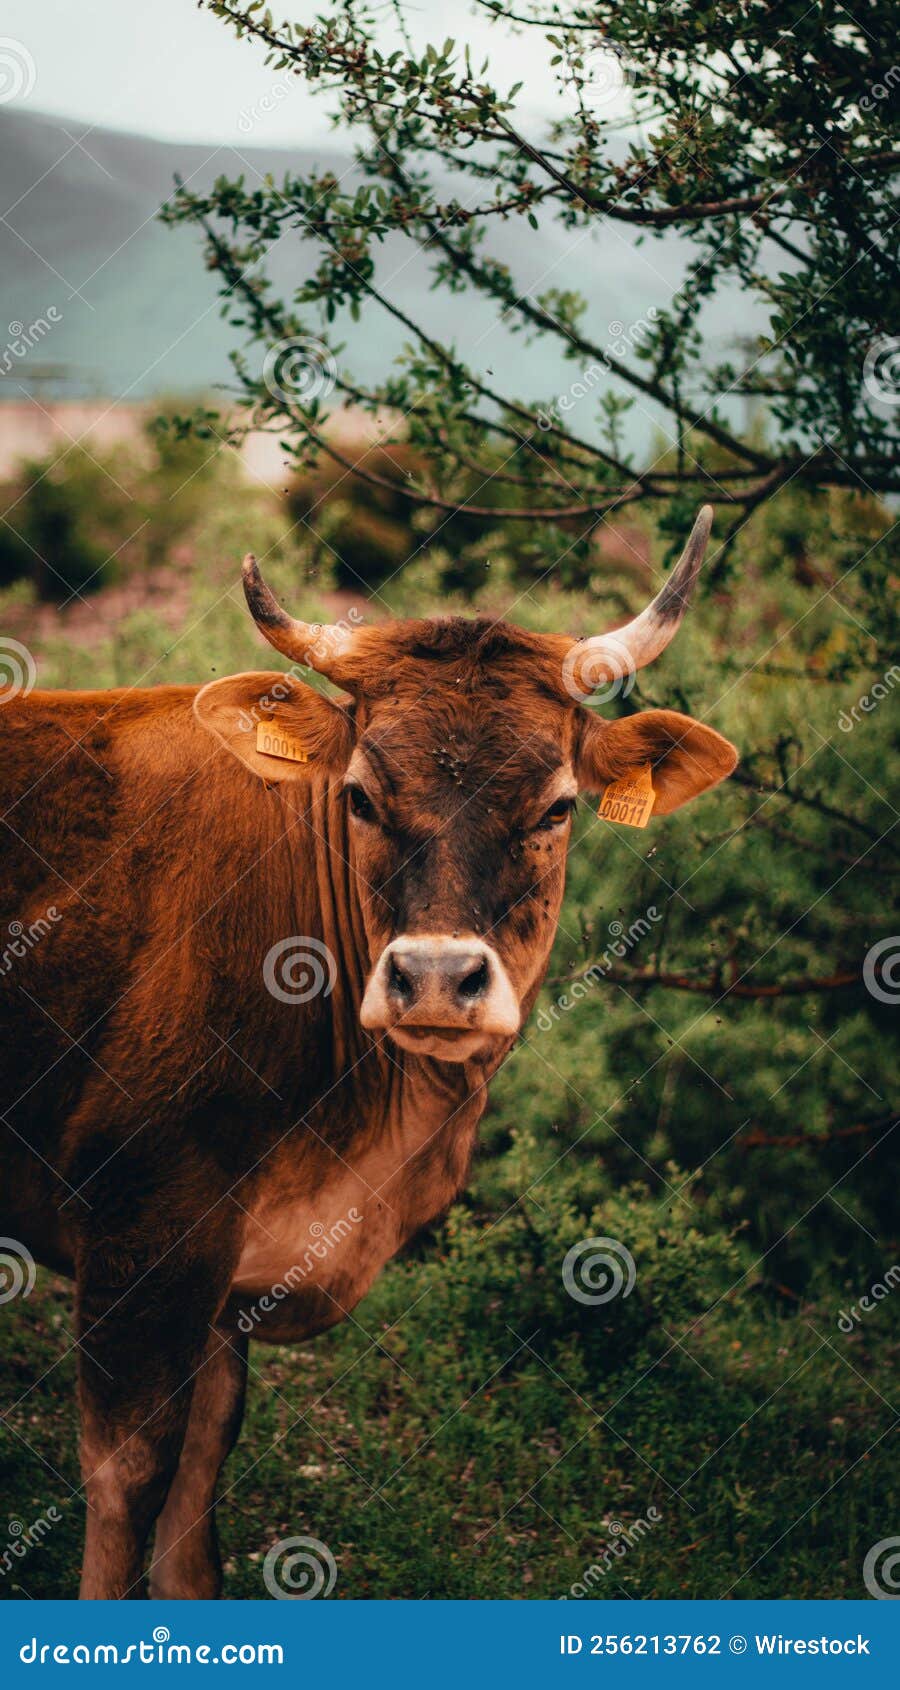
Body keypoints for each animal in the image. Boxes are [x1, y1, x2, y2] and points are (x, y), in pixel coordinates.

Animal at [0, 507, 736, 1599]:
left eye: (558, 806)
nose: (435, 977)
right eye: (360, 798)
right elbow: (130, 1476)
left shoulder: (226, 1283)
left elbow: (196, 1500)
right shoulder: (141, 1229)